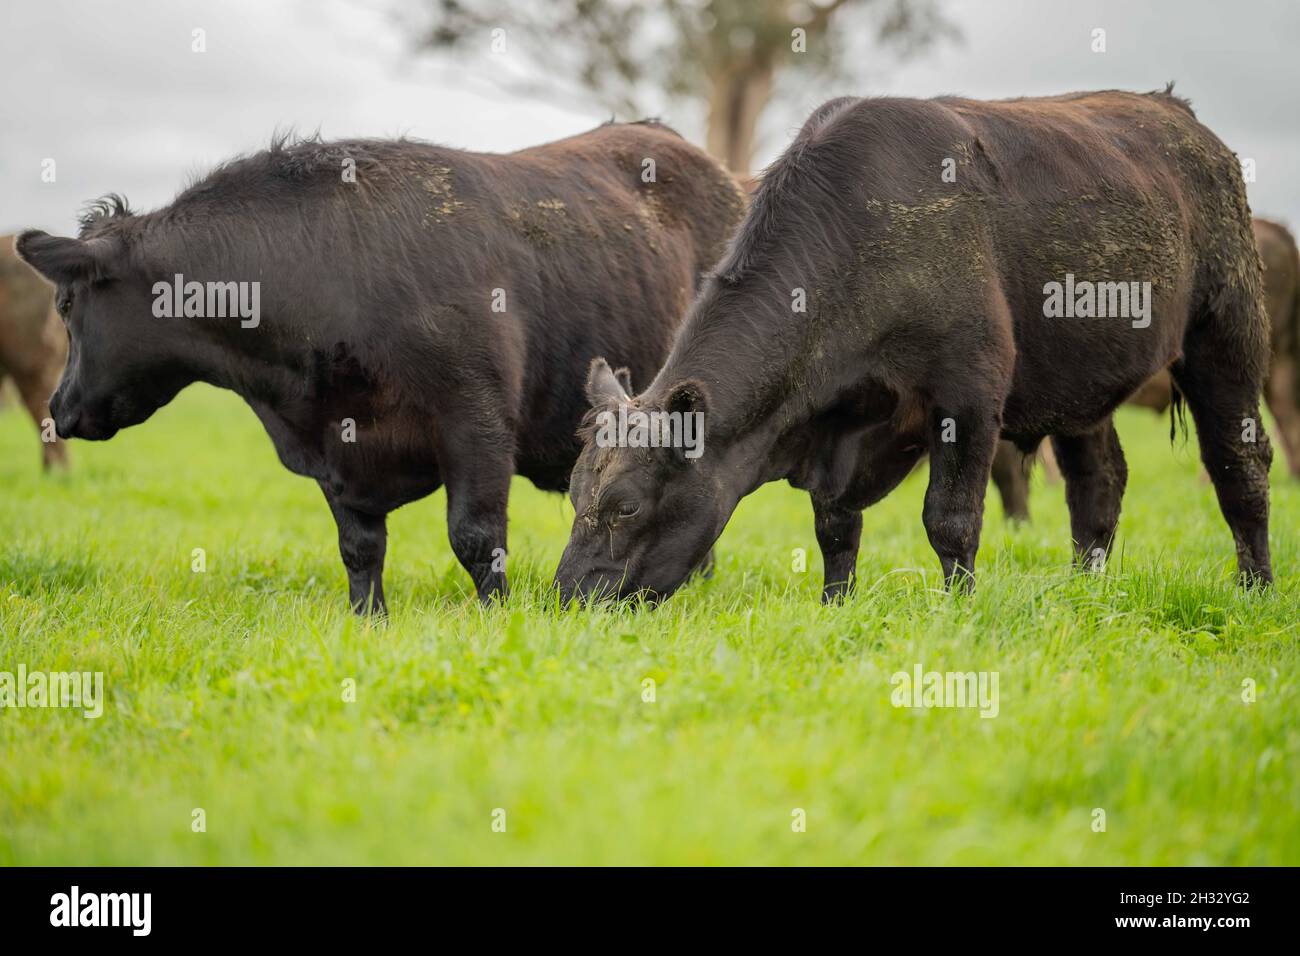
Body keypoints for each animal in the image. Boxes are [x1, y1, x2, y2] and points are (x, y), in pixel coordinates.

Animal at [15, 124, 746, 612]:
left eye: (67, 303)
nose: (59, 408)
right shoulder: (334, 453)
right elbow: (360, 548)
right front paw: (369, 620)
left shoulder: (476, 420)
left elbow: (475, 536)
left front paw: (498, 617)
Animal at [555, 88, 1274, 603]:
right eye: (573, 493)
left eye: (624, 505)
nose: (566, 597)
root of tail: (1178, 114)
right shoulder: (839, 427)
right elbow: (835, 527)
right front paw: (835, 606)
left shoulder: (971, 393)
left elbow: (950, 519)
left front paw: (959, 609)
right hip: (1084, 384)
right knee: (1098, 483)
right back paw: (1085, 592)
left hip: (1228, 331)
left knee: (1240, 464)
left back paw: (1255, 589)